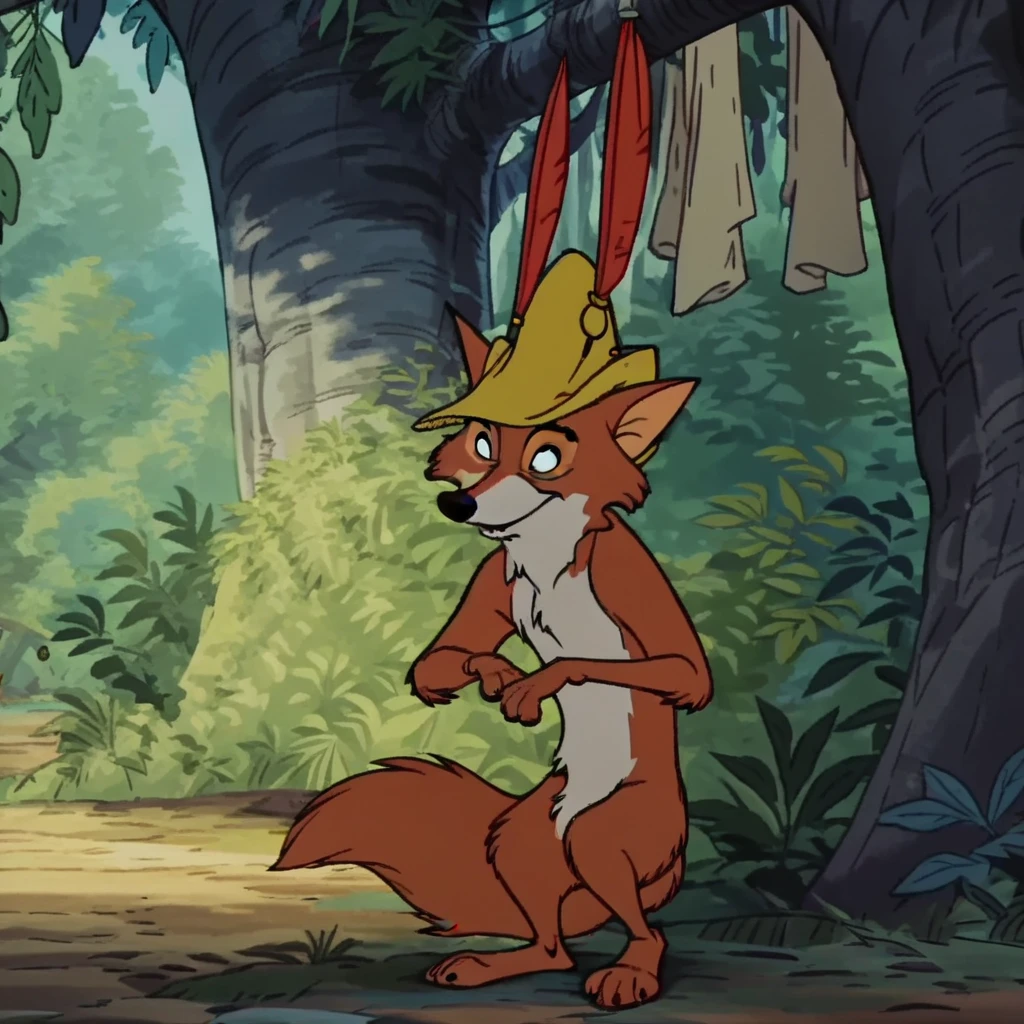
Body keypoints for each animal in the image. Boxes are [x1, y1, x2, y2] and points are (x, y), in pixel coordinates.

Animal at [272, 19, 713, 1011]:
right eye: (477, 440)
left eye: (547, 453)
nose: (457, 499)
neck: (545, 557)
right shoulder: (486, 581)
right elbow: (442, 656)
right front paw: (484, 673)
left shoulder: (642, 598)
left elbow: (664, 668)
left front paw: (535, 682)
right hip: (523, 837)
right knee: (549, 941)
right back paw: (492, 961)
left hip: (609, 836)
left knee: (644, 925)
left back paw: (630, 970)